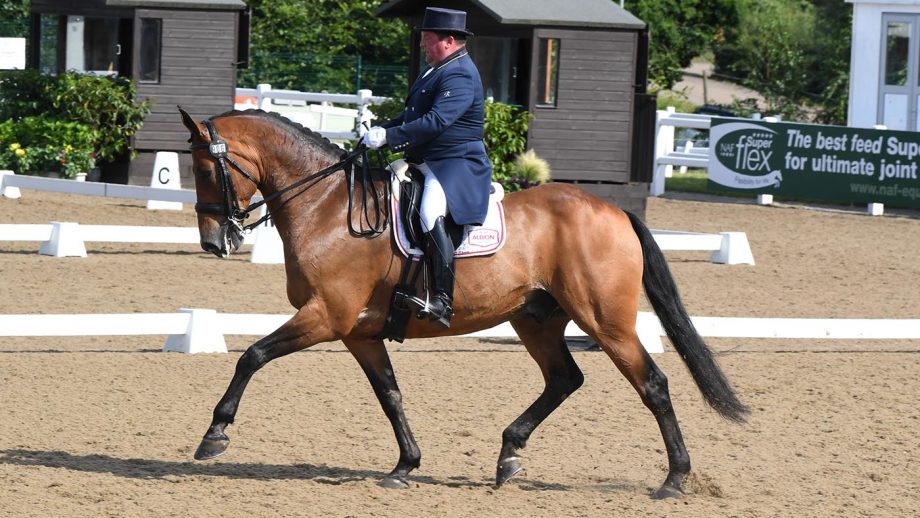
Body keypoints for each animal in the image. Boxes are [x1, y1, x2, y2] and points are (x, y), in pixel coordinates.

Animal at [178, 107, 749, 498]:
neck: (328, 208)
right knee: (564, 379)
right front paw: (405, 465)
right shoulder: (358, 331)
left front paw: (214, 435)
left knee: (652, 384)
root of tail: (614, 211)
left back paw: (674, 479)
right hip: (536, 320)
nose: (213, 242)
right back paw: (509, 455)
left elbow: (253, 355)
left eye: (205, 170)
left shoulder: (326, 317)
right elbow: (390, 396)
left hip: (605, 321)